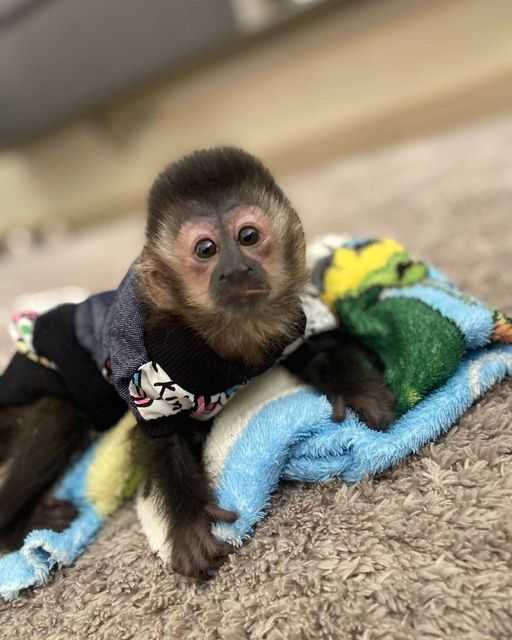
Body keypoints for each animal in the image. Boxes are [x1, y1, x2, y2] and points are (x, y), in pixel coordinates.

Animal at [0, 147, 395, 576]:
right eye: (206, 249)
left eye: (248, 237)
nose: (236, 270)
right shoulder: (144, 370)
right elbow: (163, 436)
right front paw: (189, 524)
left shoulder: (292, 322)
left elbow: (317, 349)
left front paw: (359, 389)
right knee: (55, 414)